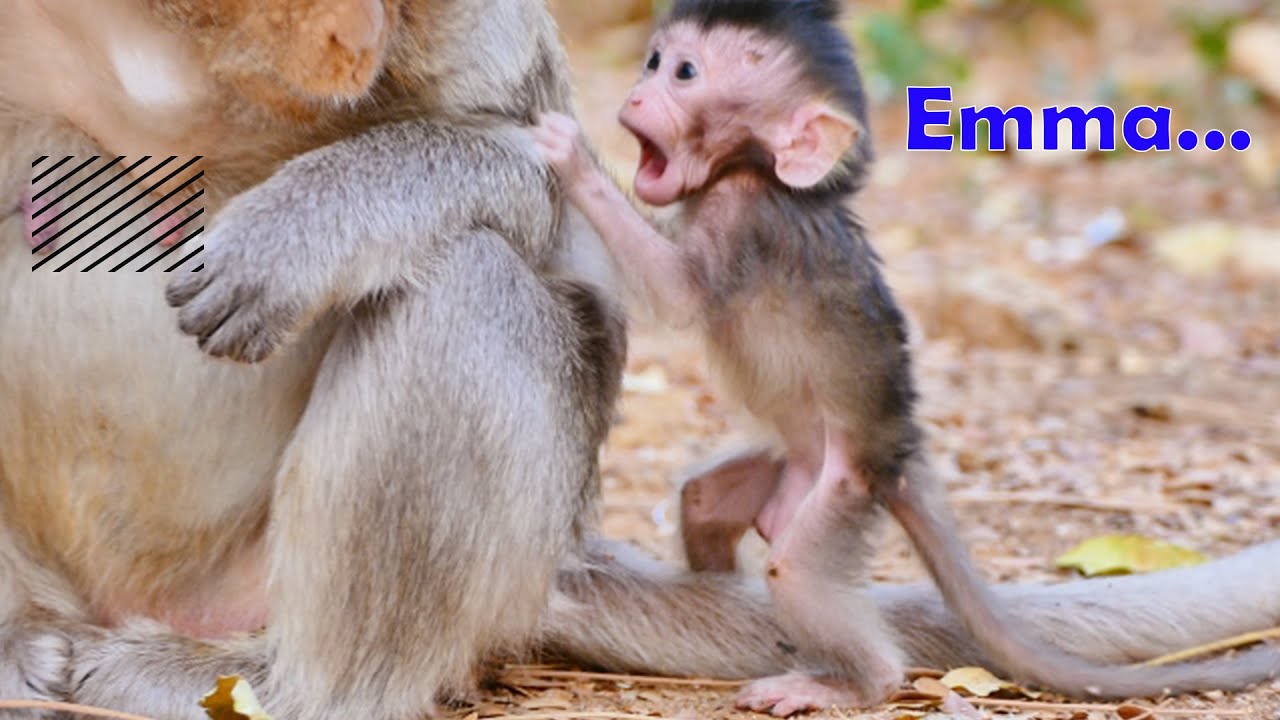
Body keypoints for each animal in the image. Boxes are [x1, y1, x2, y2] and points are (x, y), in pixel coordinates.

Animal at [532, 0, 1280, 713]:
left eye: (684, 74)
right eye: (654, 60)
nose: (636, 95)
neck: (751, 171)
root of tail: (896, 447)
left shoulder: (747, 220)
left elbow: (680, 296)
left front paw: (573, 157)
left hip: (845, 486)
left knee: (798, 569)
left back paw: (856, 682)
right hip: (795, 466)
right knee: (705, 502)